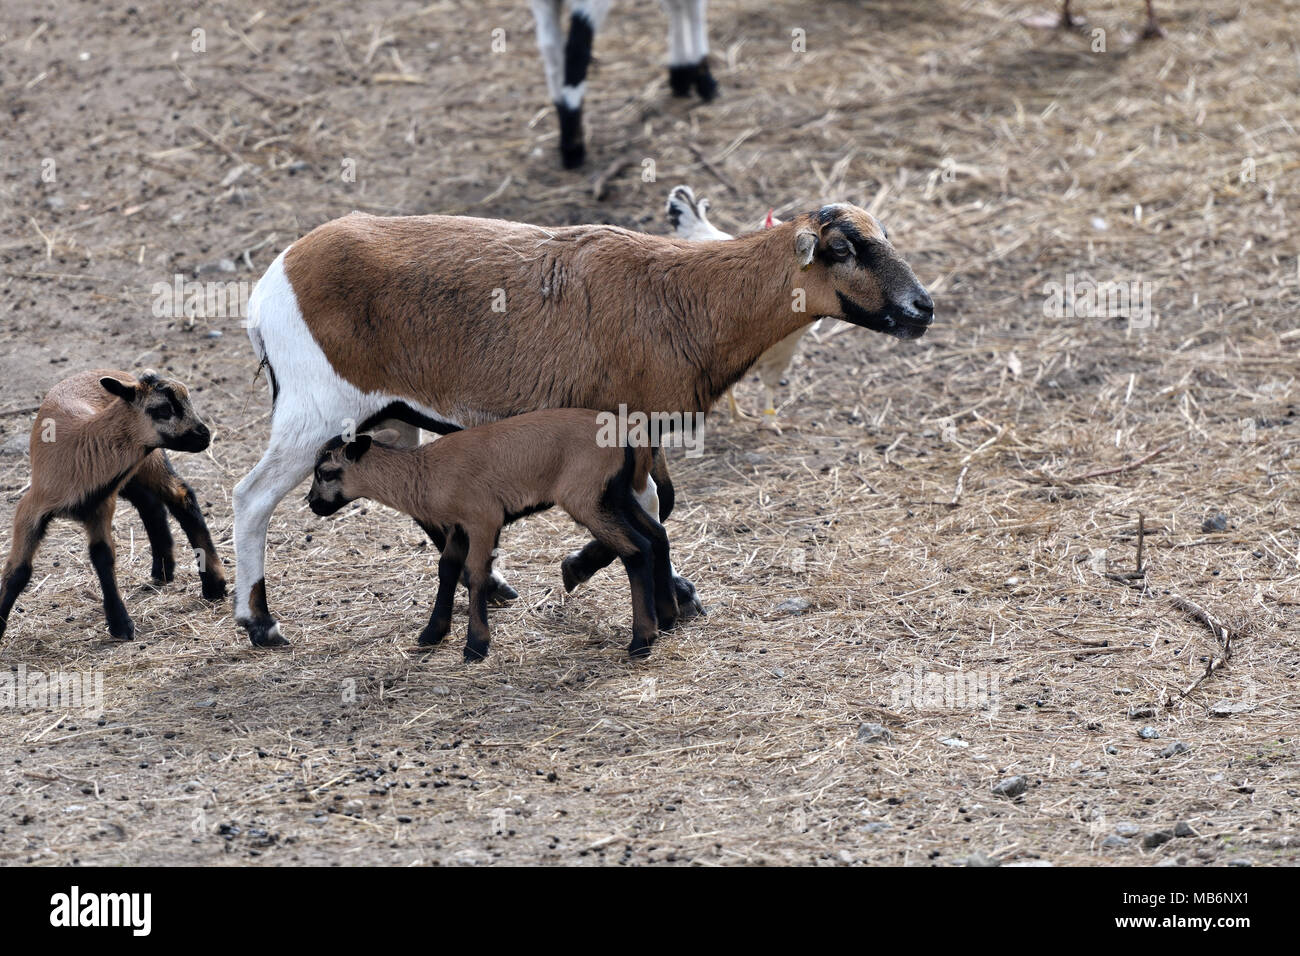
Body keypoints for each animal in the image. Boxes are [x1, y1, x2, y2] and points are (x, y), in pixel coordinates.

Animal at [0, 370, 226, 642]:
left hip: (150, 461)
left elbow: (103, 556)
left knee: (181, 498)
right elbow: (18, 571)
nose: (204, 435)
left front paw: (119, 623)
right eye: (162, 409)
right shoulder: (30, 507)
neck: (80, 447)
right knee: (151, 504)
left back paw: (214, 584)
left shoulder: (101, 505)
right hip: (134, 472)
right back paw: (163, 569)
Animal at [307, 410, 679, 661]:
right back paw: (668, 618)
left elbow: (475, 574)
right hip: (616, 494)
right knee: (657, 536)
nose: (311, 504)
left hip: (587, 496)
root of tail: (630, 436)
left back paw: (642, 640)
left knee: (636, 549)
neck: (423, 473)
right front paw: (433, 633)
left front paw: (476, 645)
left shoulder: (483, 518)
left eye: (326, 472)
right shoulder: (459, 525)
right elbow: (447, 569)